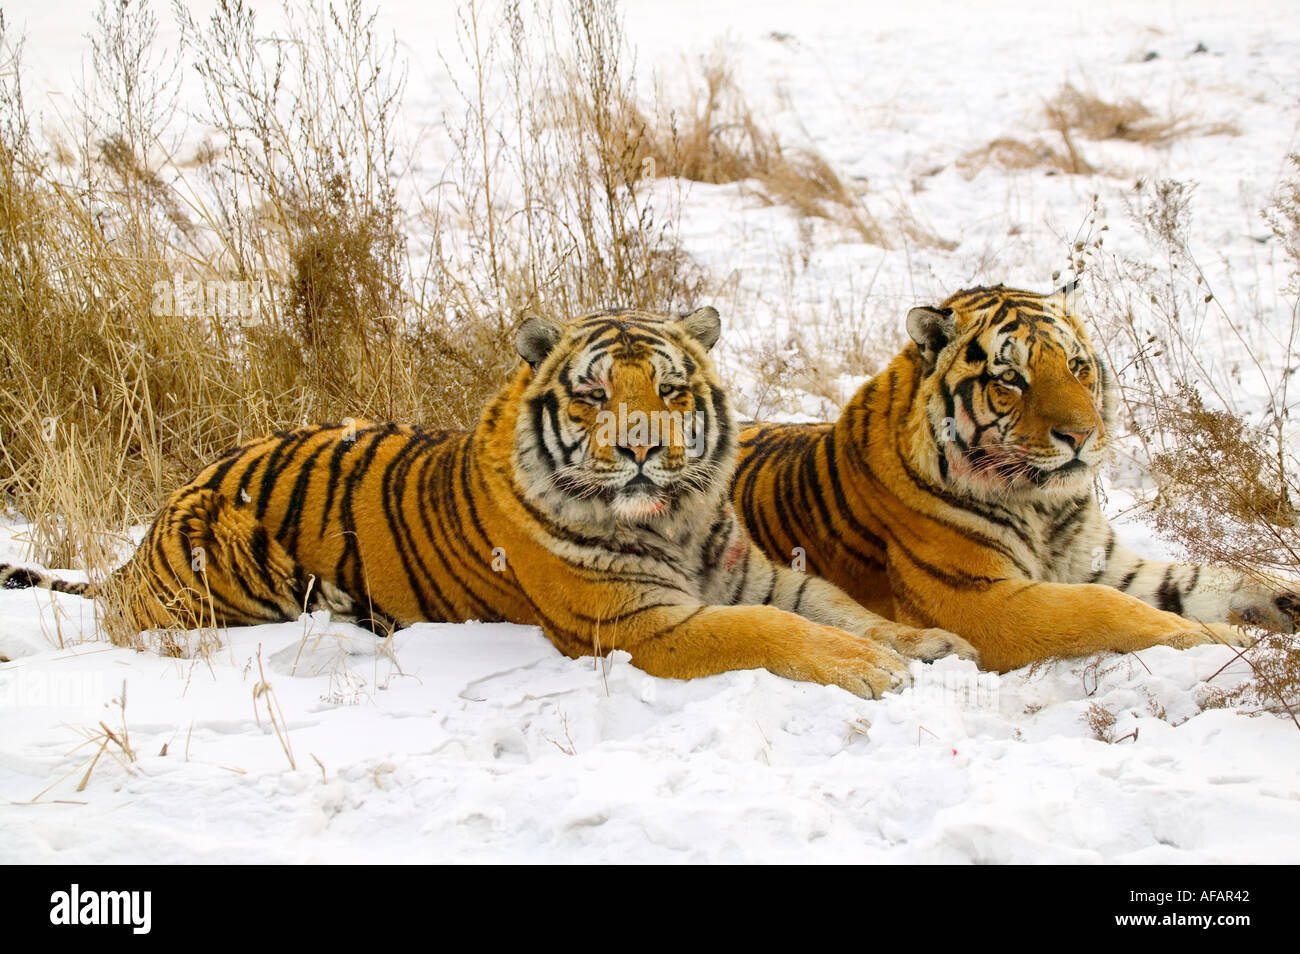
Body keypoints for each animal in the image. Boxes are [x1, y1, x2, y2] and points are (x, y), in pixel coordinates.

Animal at [0, 306, 977, 696]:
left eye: (669, 389)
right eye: (591, 395)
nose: (641, 449)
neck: (679, 523)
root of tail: (140, 545)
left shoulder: (755, 573)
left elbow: (838, 605)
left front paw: (931, 643)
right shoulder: (642, 622)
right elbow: (774, 633)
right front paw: (874, 670)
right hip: (231, 549)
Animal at [733, 284, 1299, 672]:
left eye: (1076, 365)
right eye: (1010, 378)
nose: (1081, 435)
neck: (1044, 505)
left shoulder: (1106, 565)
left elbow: (1222, 578)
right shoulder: (972, 599)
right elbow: (1105, 609)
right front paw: (1230, 640)